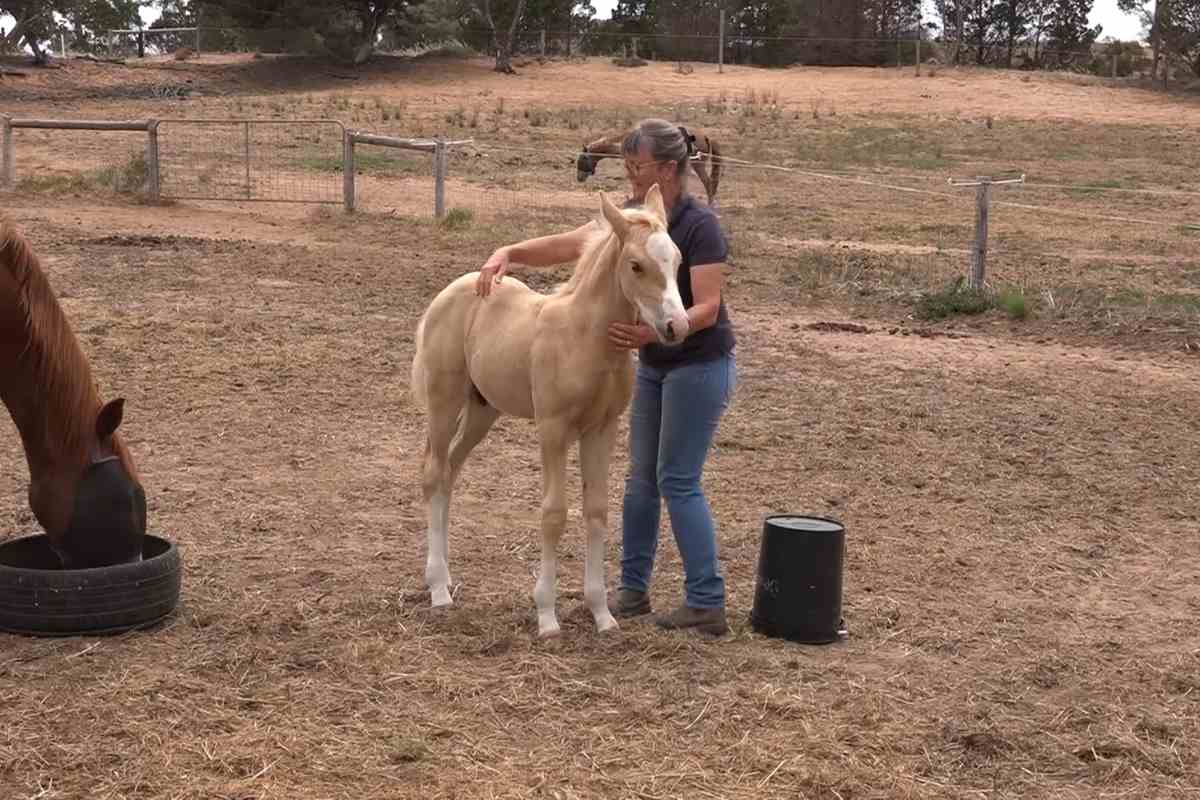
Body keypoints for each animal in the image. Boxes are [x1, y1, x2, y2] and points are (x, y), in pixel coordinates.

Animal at [410, 184, 690, 638]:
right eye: (636, 265)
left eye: (678, 259)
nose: (676, 327)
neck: (586, 340)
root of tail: (455, 288)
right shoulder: (553, 429)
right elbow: (554, 513)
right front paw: (547, 616)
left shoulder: (603, 429)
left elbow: (597, 510)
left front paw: (602, 614)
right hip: (444, 400)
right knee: (434, 472)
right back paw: (438, 589)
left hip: (483, 410)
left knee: (450, 470)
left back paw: (447, 577)